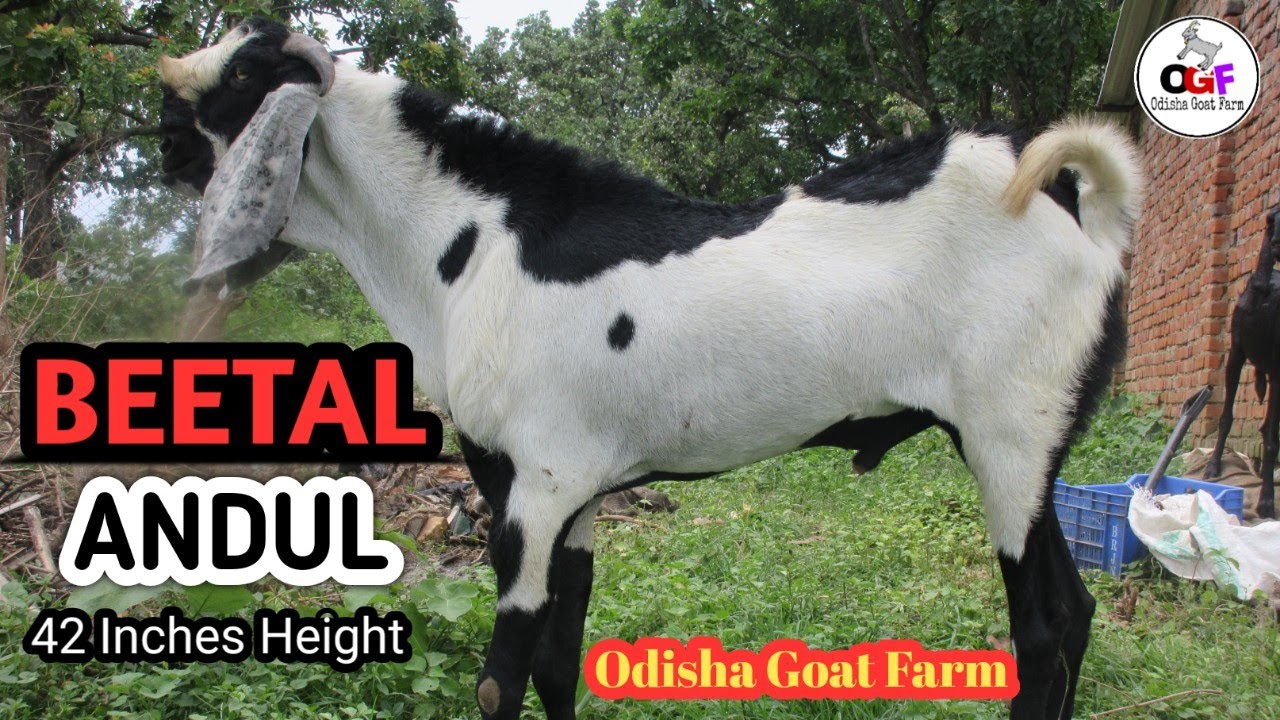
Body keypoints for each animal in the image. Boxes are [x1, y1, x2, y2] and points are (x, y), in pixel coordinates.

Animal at [157, 20, 1143, 720]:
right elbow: (559, 662)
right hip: (1032, 447)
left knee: (1040, 629)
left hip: (1008, 433)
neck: (468, 243)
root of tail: (1072, 198)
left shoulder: (532, 481)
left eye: (243, 79)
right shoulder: (580, 485)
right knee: (1076, 614)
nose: (164, 139)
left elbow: (501, 675)